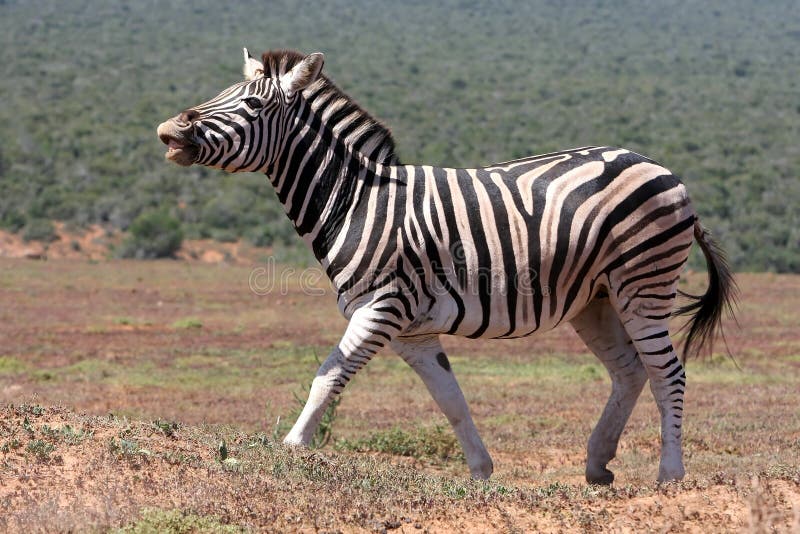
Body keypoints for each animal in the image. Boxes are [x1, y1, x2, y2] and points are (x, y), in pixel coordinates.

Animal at [157, 48, 736, 483]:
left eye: (253, 105)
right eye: (222, 93)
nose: (167, 130)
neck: (356, 200)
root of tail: (664, 170)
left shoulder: (382, 307)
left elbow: (328, 377)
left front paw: (291, 450)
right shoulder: (411, 330)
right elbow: (451, 400)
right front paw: (481, 471)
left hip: (643, 285)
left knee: (668, 373)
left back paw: (670, 474)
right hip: (595, 299)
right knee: (629, 370)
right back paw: (597, 464)